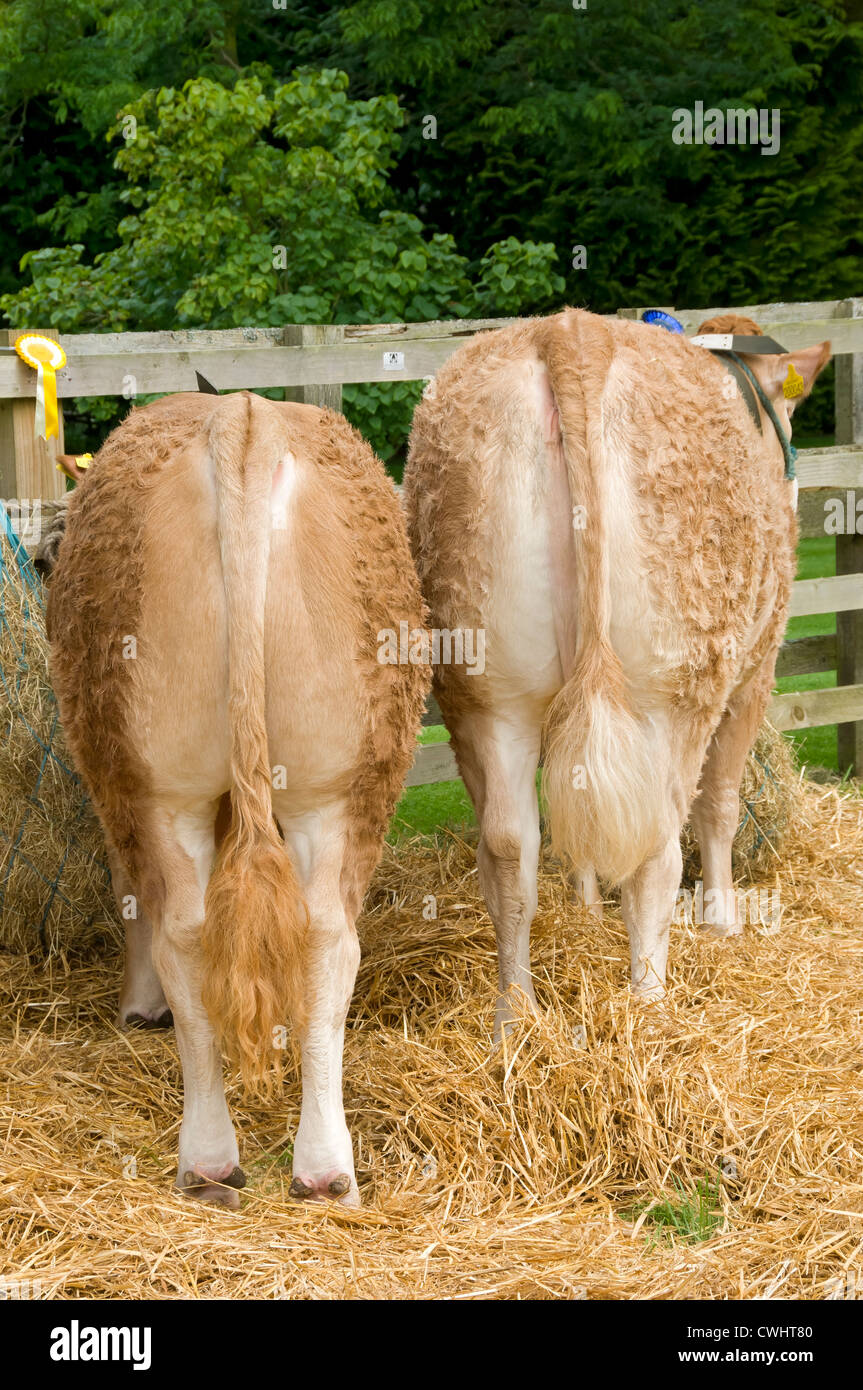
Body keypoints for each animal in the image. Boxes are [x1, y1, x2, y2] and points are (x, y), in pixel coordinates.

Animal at [47, 390, 428, 1206]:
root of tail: (245, 420)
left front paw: (140, 1005)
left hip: (163, 781)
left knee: (187, 931)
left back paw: (217, 1160)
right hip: (338, 779)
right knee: (320, 934)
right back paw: (315, 1167)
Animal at [403, 309, 830, 1038]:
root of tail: (570, 333)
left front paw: (584, 908)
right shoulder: (756, 666)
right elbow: (721, 802)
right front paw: (721, 921)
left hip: (484, 688)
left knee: (510, 845)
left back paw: (515, 1017)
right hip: (670, 688)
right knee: (658, 846)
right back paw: (649, 1008)